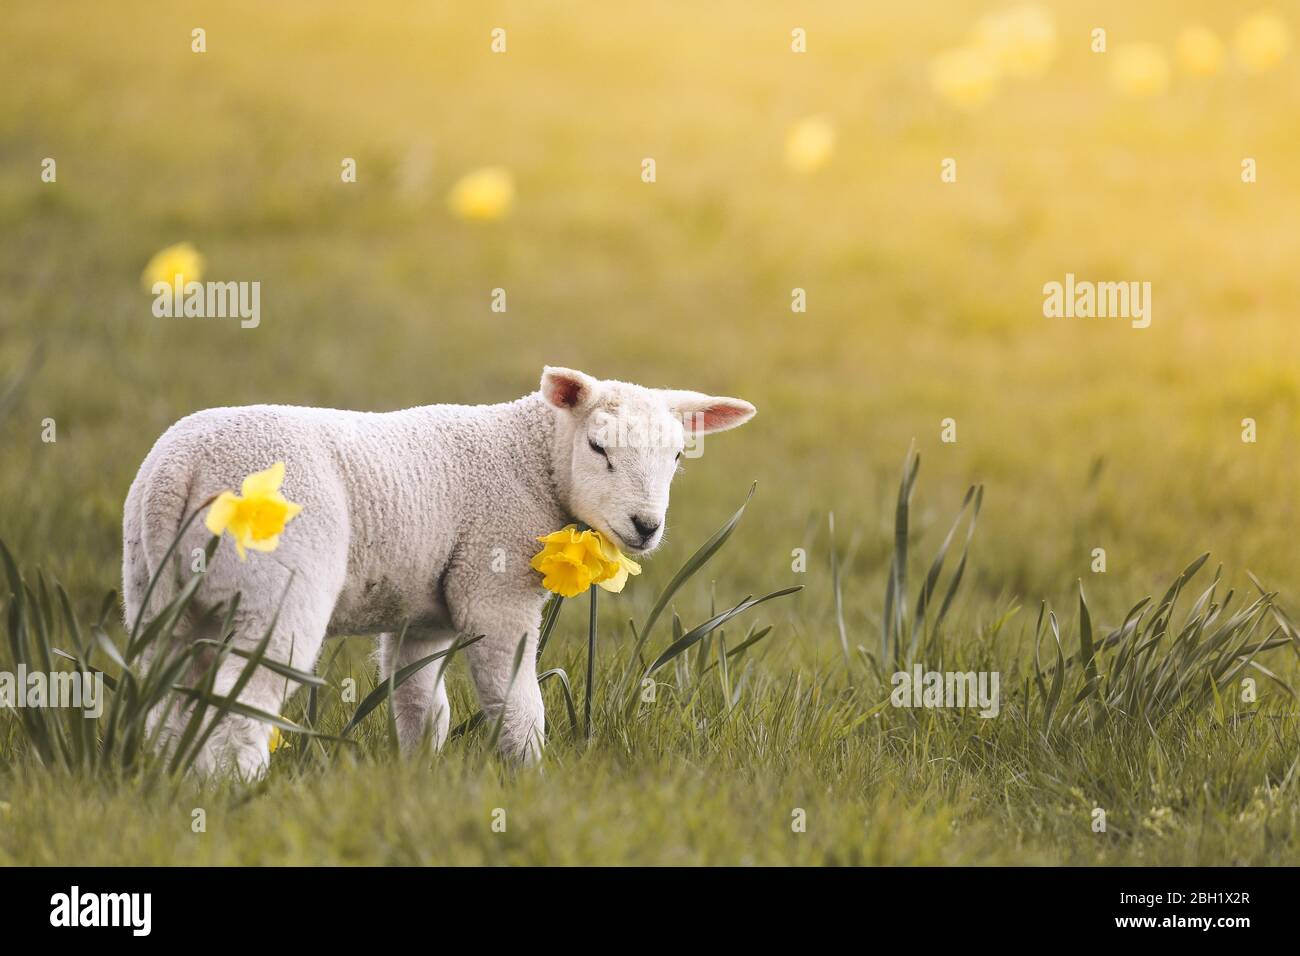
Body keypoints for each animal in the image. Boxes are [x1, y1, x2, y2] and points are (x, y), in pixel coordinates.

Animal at [122, 366, 755, 777]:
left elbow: (422, 705)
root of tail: (180, 468)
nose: (645, 526)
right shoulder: (494, 585)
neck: (529, 459)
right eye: (599, 448)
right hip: (276, 584)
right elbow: (516, 700)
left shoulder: (419, 615)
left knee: (168, 693)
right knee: (239, 697)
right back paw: (235, 787)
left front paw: (421, 776)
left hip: (157, 588)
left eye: (678, 455)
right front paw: (530, 776)